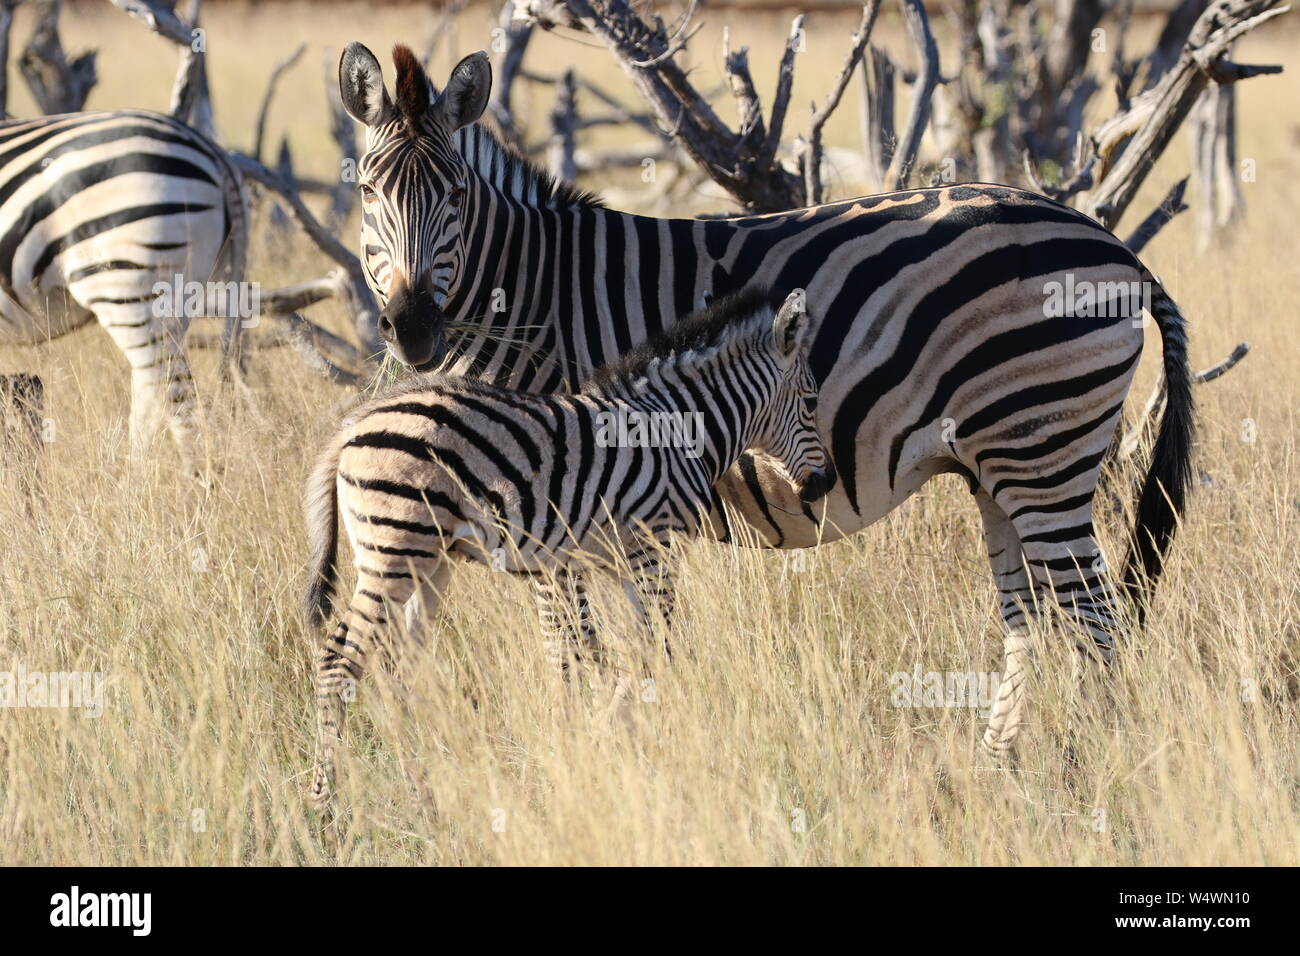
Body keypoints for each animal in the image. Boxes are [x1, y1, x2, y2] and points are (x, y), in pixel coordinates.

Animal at [0, 109, 248, 475]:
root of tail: (210, 150)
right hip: (173, 297)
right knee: (152, 391)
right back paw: (133, 483)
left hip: (123, 278)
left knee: (177, 397)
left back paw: (194, 486)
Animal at [303, 287, 833, 808]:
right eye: (810, 401)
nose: (824, 484)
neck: (676, 434)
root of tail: (351, 427)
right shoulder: (653, 547)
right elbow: (650, 649)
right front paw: (624, 741)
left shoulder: (619, 561)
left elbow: (614, 652)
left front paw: (612, 737)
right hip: (392, 549)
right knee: (339, 658)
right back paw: (325, 805)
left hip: (428, 563)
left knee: (397, 669)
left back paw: (423, 792)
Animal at [336, 43, 1195, 755]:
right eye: (369, 191)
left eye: (454, 194)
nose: (413, 326)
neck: (532, 293)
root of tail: (1114, 245)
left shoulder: (554, 498)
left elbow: (574, 648)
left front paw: (589, 748)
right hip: (997, 466)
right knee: (1031, 619)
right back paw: (1001, 770)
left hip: (1042, 444)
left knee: (1092, 620)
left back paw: (1089, 774)